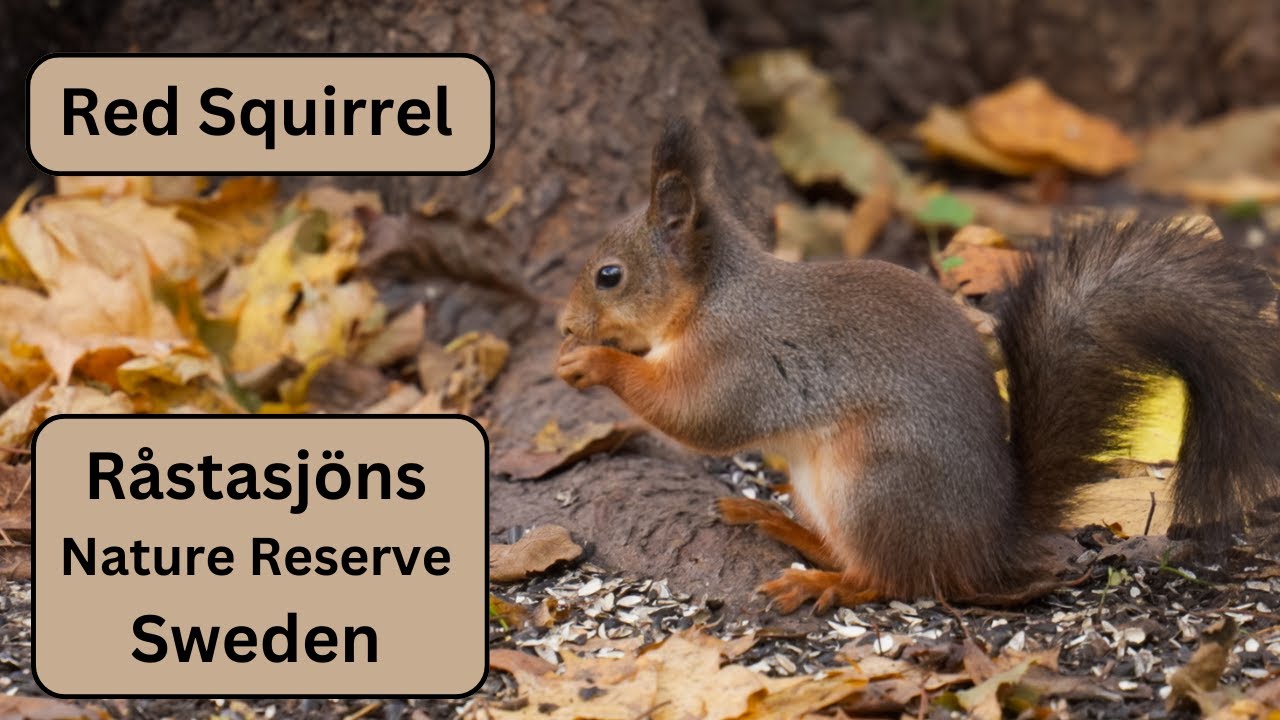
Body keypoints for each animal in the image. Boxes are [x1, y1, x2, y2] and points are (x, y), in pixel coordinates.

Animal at [555, 117, 1280, 613]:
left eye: (609, 276)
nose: (564, 324)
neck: (710, 297)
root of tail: (987, 540)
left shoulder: (742, 357)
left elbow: (698, 419)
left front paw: (592, 362)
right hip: (826, 486)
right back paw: (777, 523)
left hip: (877, 481)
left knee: (892, 579)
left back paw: (825, 585)